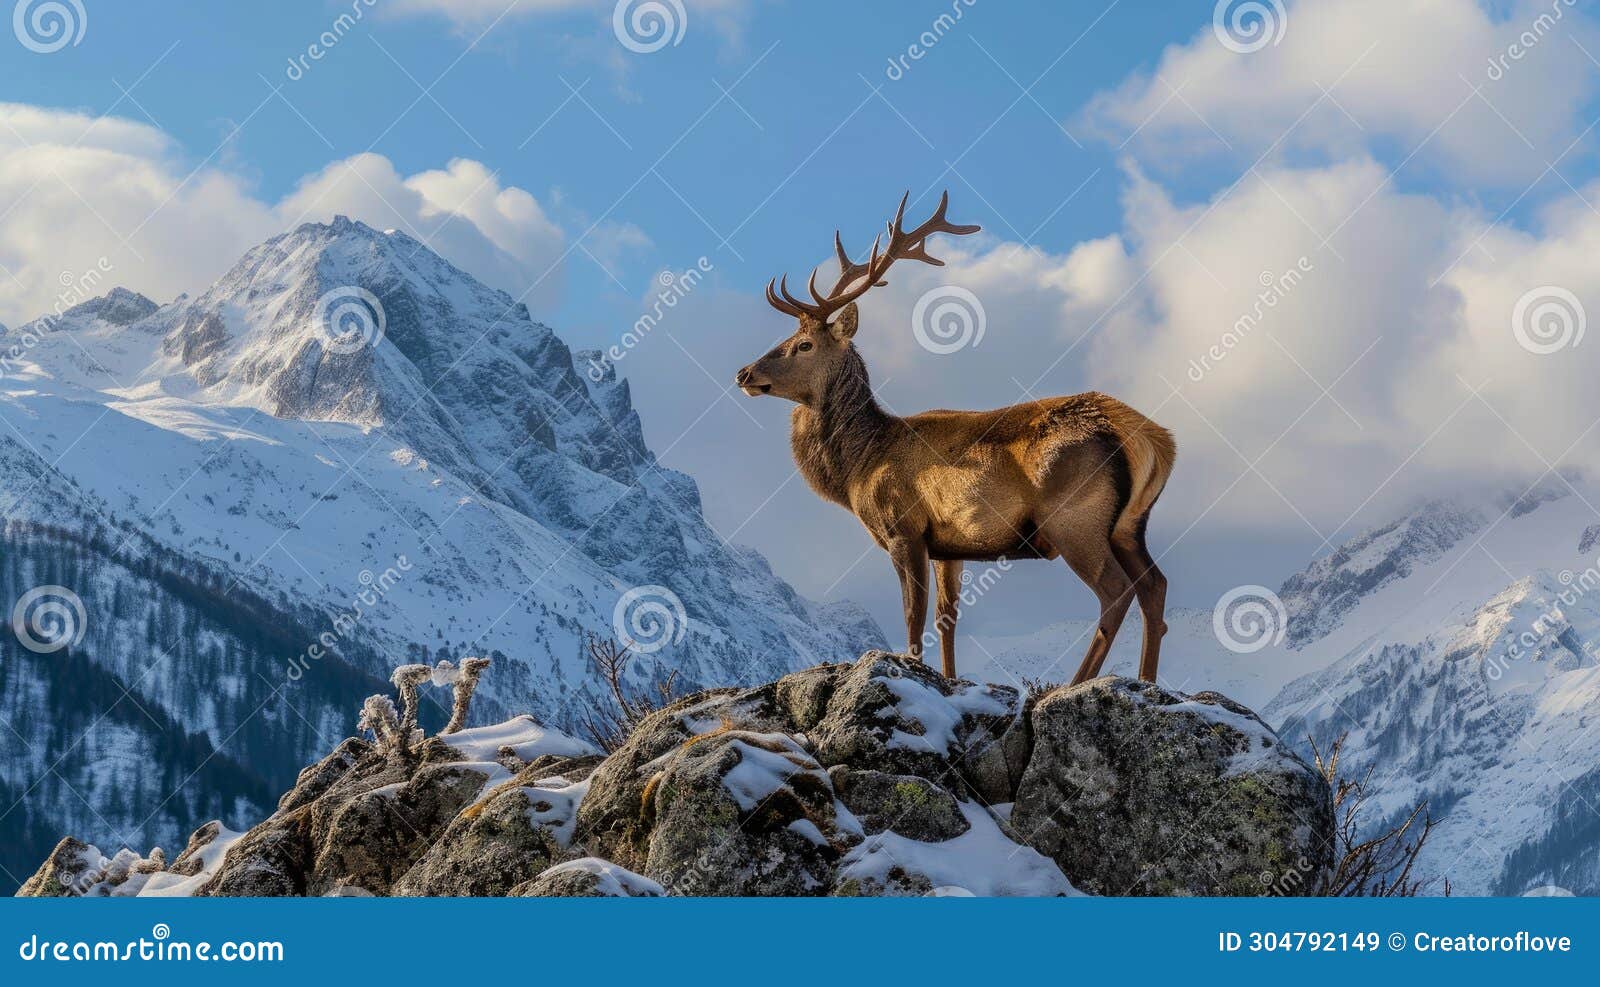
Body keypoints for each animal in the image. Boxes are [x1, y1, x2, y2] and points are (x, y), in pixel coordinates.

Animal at [735, 192, 1177, 687]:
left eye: (804, 345)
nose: (745, 373)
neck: (858, 468)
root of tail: (1151, 438)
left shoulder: (904, 527)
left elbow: (913, 615)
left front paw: (910, 668)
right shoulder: (949, 546)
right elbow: (947, 618)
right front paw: (948, 677)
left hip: (1074, 518)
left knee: (1116, 591)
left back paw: (1071, 684)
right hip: (1130, 524)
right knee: (1155, 586)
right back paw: (1147, 679)